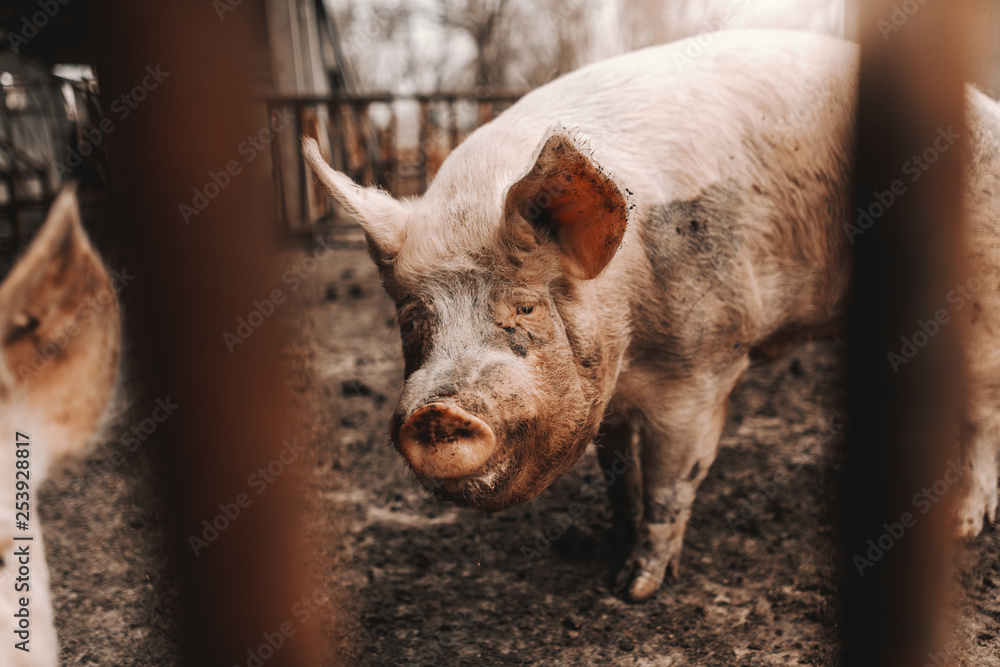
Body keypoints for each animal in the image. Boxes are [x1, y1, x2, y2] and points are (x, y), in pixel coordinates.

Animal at [303, 29, 1000, 601]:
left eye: (525, 307)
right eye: (413, 321)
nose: (437, 413)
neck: (631, 347)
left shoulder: (704, 368)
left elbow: (672, 480)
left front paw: (634, 590)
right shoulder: (610, 391)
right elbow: (618, 473)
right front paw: (616, 542)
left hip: (979, 297)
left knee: (982, 413)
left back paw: (965, 528)